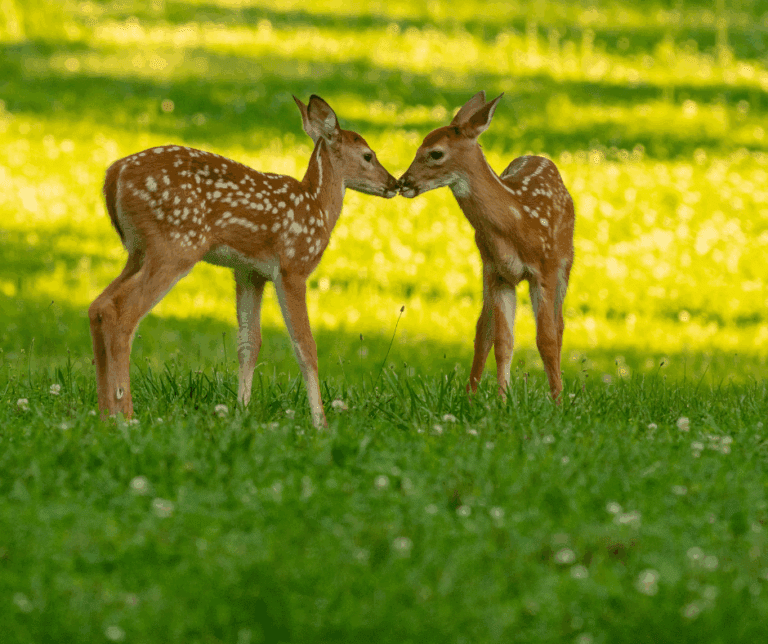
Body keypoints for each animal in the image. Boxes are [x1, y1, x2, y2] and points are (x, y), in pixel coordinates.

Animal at [89, 95, 399, 428]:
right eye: (368, 155)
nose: (394, 183)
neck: (317, 207)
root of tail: (113, 175)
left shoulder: (249, 272)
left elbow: (249, 343)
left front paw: (241, 411)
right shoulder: (293, 266)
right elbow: (305, 346)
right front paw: (320, 423)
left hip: (138, 251)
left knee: (98, 306)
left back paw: (104, 411)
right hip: (176, 245)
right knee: (122, 313)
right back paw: (125, 413)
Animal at [398, 92, 575, 402]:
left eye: (435, 153)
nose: (403, 182)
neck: (516, 223)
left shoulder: (545, 269)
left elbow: (547, 338)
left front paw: (557, 402)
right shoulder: (498, 272)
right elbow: (502, 341)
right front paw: (503, 401)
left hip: (566, 262)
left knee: (559, 325)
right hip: (486, 270)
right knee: (484, 329)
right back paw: (470, 395)